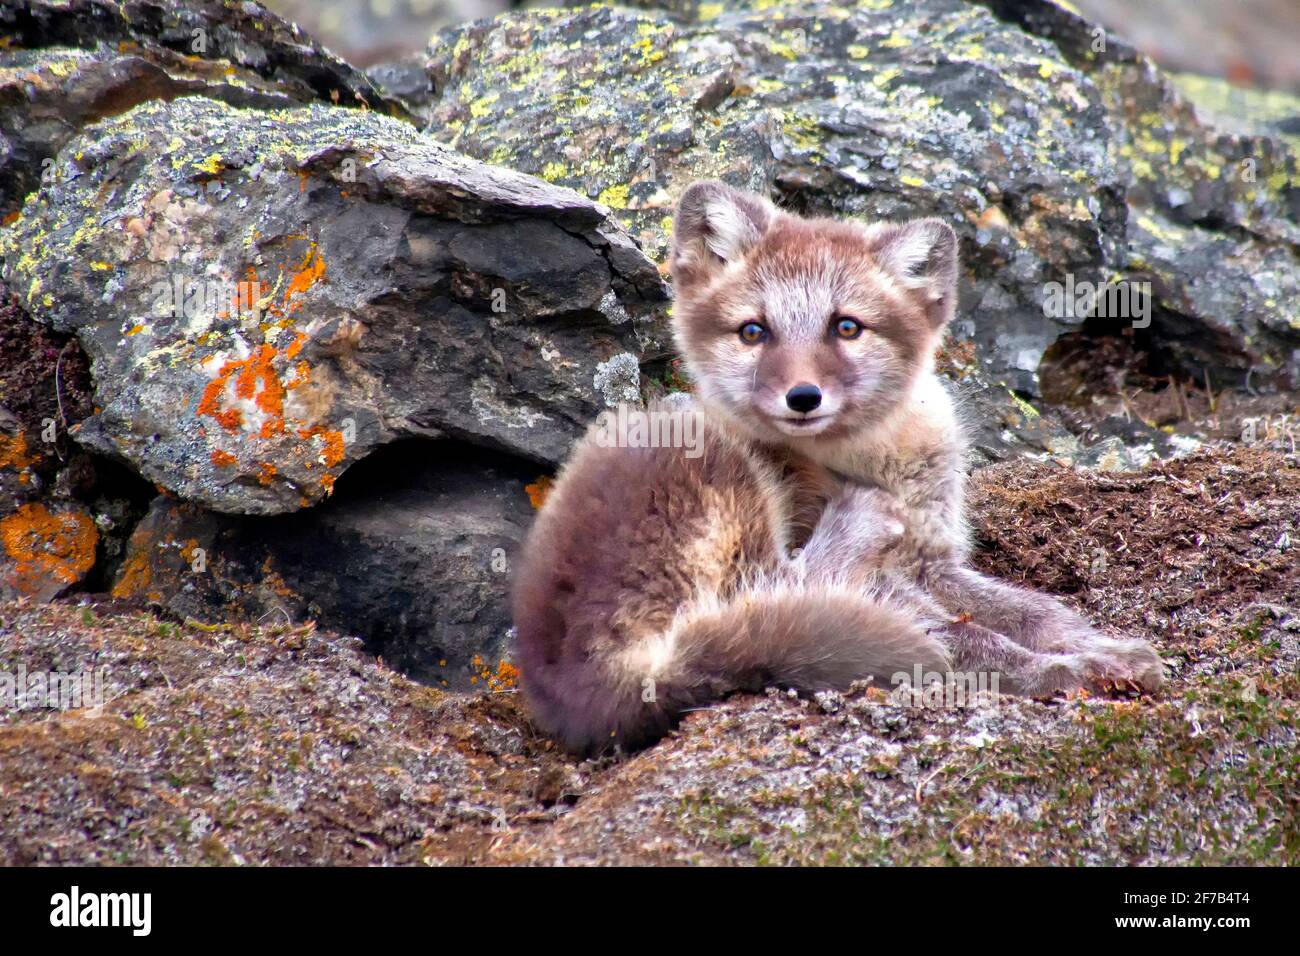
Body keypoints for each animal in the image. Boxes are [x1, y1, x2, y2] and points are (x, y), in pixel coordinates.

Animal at [512, 180, 1164, 754]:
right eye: (754, 331)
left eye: (846, 326)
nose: (802, 397)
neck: (880, 460)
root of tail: (589, 692)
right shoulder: (885, 581)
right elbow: (969, 637)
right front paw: (1072, 670)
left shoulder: (933, 562)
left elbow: (1032, 609)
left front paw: (1102, 646)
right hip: (689, 444)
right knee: (787, 583)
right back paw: (861, 519)